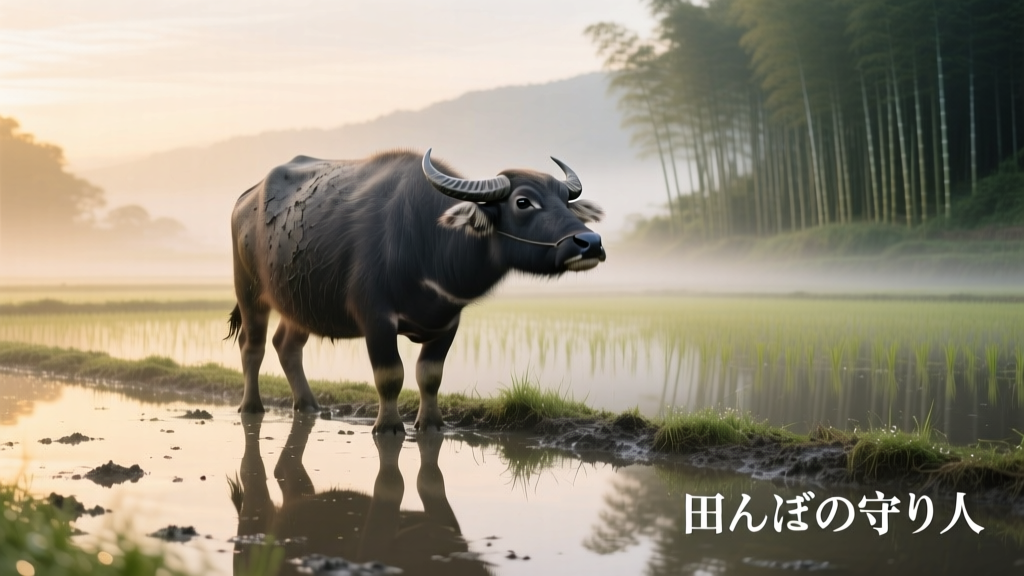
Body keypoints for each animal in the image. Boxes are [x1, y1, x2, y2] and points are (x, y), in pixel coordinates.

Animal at [228, 149, 605, 433]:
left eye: (565, 202)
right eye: (523, 202)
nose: (590, 243)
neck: (430, 244)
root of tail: (246, 198)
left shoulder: (449, 322)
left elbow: (430, 376)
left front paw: (431, 423)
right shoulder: (376, 319)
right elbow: (390, 376)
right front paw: (389, 426)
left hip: (300, 301)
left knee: (287, 345)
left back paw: (309, 406)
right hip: (250, 291)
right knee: (252, 346)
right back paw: (252, 406)